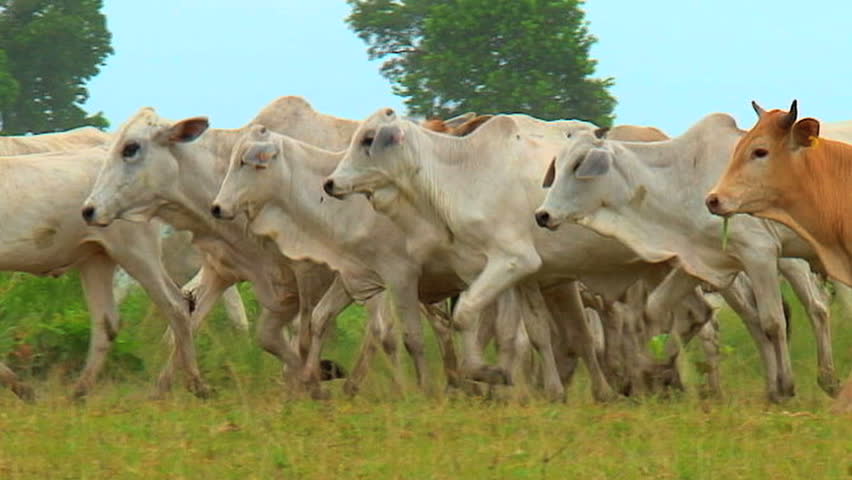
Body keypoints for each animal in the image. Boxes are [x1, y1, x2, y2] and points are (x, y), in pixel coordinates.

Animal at [534, 112, 837, 401]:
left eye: (577, 165)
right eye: (557, 166)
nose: (542, 215)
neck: (684, 179)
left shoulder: (759, 252)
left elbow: (772, 322)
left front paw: (786, 386)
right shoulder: (702, 260)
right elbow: (661, 309)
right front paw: (654, 370)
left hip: (792, 261)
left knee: (816, 307)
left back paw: (826, 379)